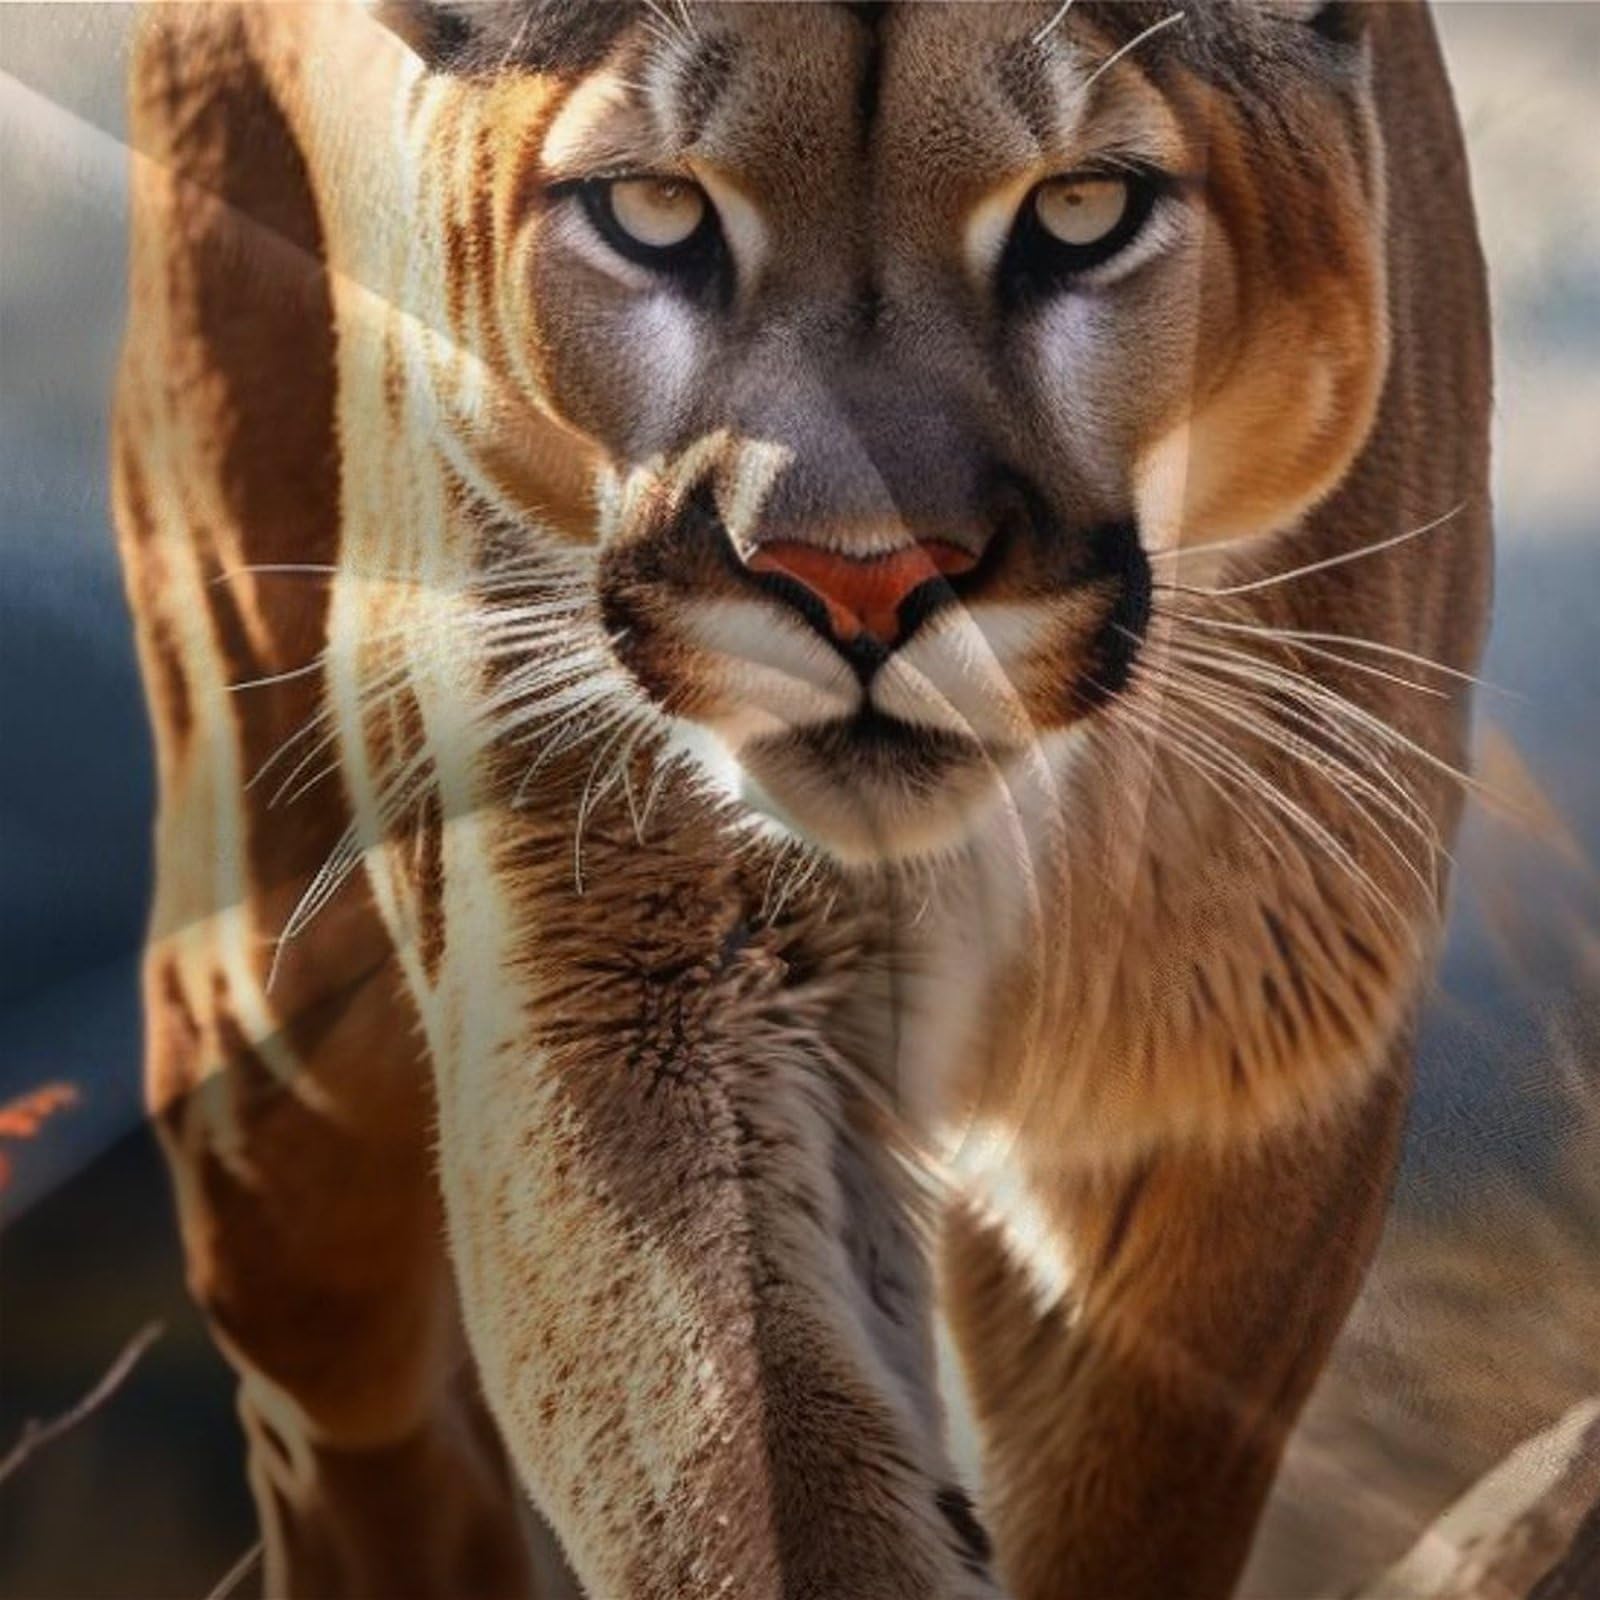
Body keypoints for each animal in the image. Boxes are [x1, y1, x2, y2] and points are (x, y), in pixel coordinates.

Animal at [111, 2, 1492, 1596]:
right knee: (335, 1404)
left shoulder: (1225, 1076)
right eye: (657, 211)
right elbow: (743, 1456)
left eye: (1083, 212)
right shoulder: (625, 970)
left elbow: (1124, 1506)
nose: (862, 581)